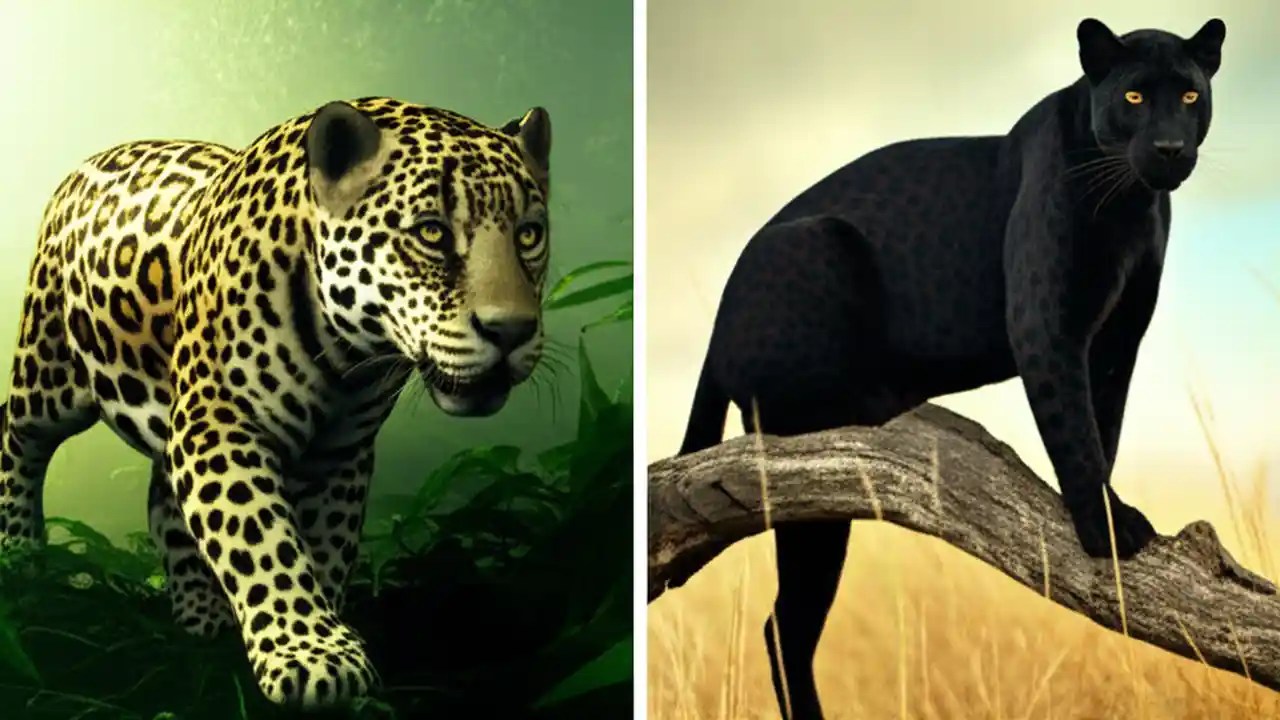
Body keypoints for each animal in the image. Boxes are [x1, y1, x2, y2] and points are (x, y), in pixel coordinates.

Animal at [0, 96, 553, 709]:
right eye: (431, 232)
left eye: (530, 235)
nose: (511, 331)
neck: (350, 357)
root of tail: (87, 162)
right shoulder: (219, 423)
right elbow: (260, 536)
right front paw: (315, 657)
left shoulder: (341, 455)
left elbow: (326, 545)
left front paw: (325, 634)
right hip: (47, 369)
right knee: (19, 439)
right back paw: (22, 562)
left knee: (164, 502)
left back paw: (200, 614)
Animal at [675, 18, 1226, 720]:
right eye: (1133, 97)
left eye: (1189, 96)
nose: (1168, 147)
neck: (1131, 203)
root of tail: (715, 331)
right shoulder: (1047, 325)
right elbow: (1073, 429)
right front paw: (1105, 528)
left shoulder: (1118, 339)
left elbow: (1104, 426)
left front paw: (1103, 514)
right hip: (818, 246)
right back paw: (877, 398)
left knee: (787, 624)